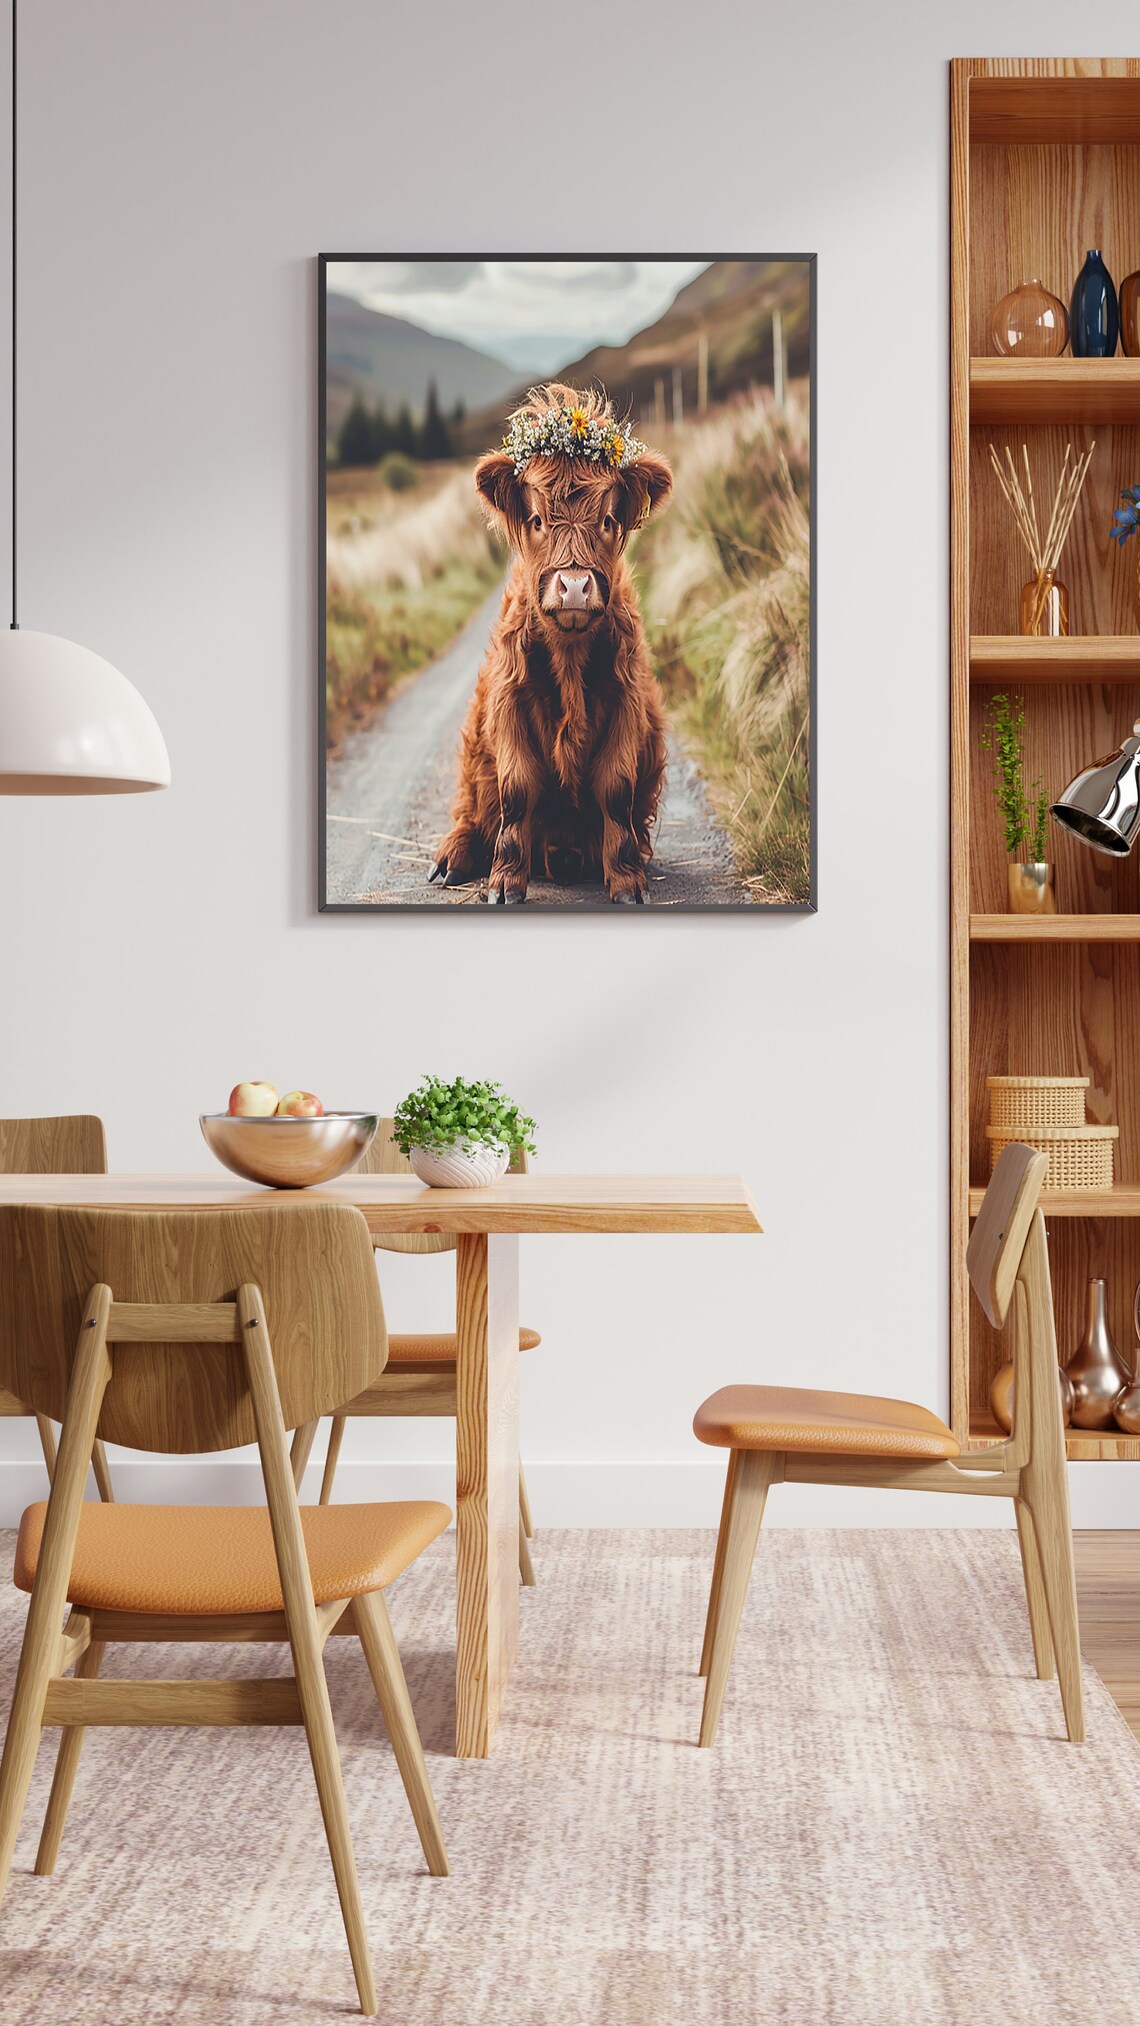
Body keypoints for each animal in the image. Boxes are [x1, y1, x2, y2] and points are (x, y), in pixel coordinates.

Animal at [429, 383, 673, 905]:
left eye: (608, 519)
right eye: (538, 519)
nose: (575, 586)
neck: (569, 651)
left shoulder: (626, 701)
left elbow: (615, 790)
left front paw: (627, 882)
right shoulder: (507, 700)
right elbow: (516, 790)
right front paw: (504, 883)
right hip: (474, 742)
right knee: (471, 809)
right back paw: (452, 857)